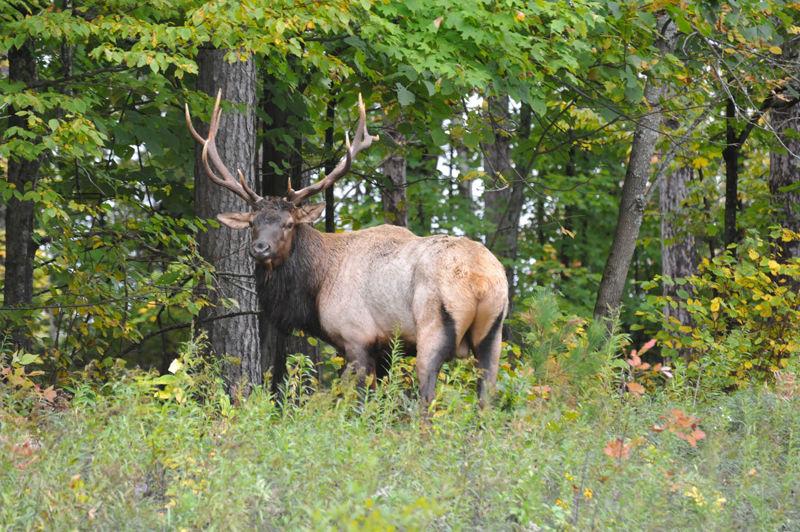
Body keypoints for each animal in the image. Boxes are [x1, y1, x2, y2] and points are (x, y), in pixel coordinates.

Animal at [185, 90, 508, 412]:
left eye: (288, 224)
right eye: (253, 222)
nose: (260, 248)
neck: (316, 288)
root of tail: (481, 281)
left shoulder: (357, 338)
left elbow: (360, 403)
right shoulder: (384, 351)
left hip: (433, 326)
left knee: (426, 400)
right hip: (493, 334)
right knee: (487, 400)